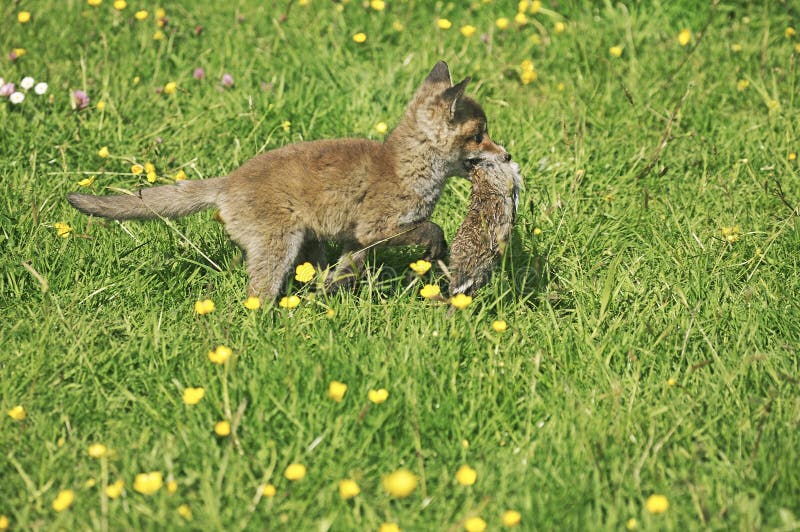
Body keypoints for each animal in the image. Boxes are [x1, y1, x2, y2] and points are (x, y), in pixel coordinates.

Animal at [68, 61, 510, 302]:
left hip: (307, 242)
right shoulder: (377, 227)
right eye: (479, 135)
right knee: (255, 296)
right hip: (280, 245)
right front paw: (438, 248)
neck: (407, 166)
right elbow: (431, 229)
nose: (506, 156)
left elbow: (344, 272)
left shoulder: (356, 240)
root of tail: (228, 182)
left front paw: (327, 298)